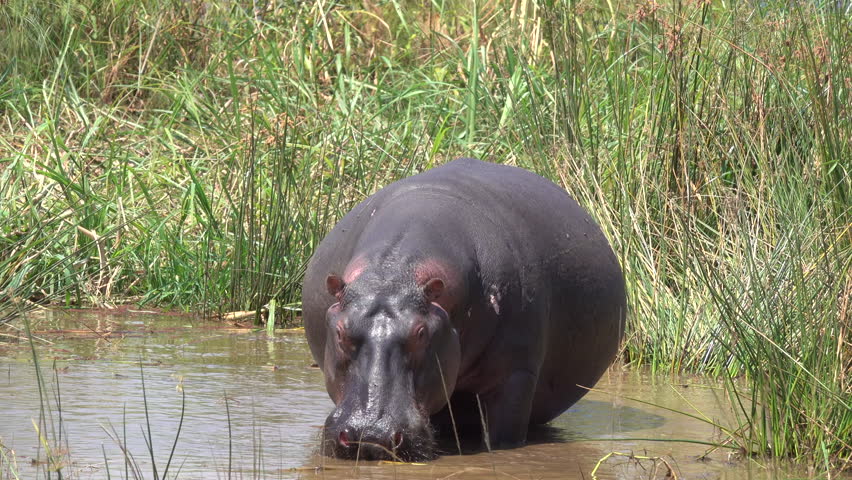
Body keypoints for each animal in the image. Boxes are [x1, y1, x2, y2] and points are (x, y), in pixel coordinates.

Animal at [302, 158, 625, 461]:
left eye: (421, 333)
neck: (394, 274)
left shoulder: (516, 374)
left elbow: (503, 436)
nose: (370, 435)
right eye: (340, 331)